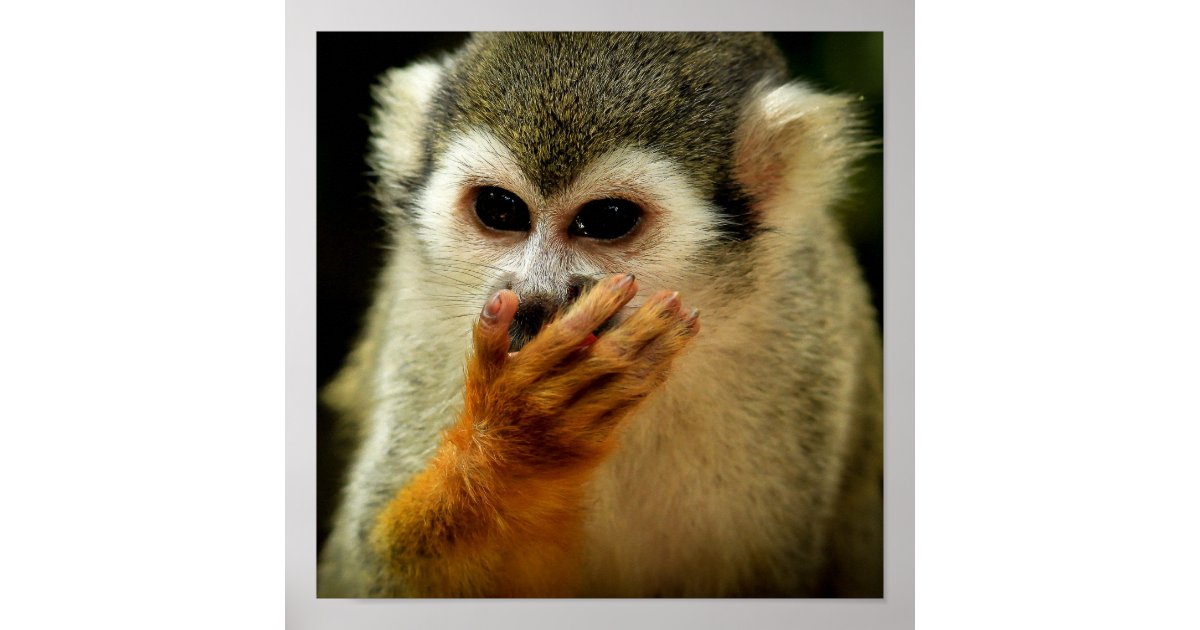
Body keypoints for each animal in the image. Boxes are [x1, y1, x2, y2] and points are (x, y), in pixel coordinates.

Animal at [317, 32, 882, 598]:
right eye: (500, 209)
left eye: (607, 219)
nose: (534, 299)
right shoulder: (422, 321)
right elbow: (376, 574)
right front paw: (519, 444)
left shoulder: (801, 336)